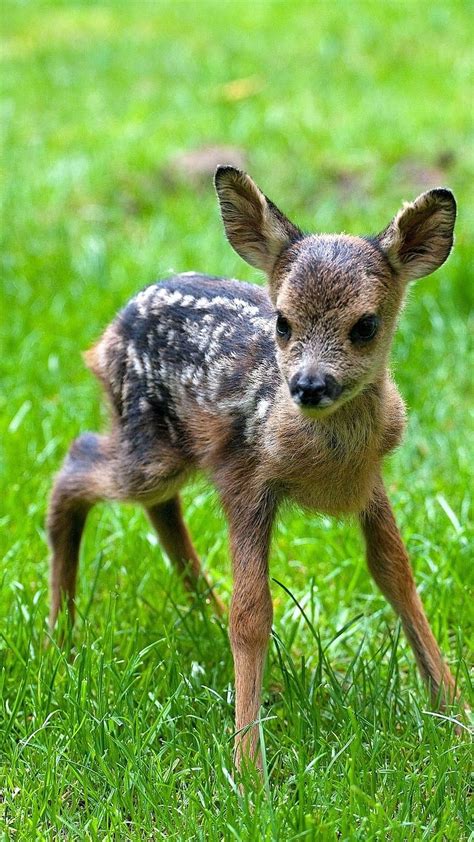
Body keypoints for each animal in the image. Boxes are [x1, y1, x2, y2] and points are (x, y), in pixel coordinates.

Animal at [47, 165, 461, 772]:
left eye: (365, 326)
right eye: (283, 323)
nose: (309, 385)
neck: (325, 461)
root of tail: (106, 335)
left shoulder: (370, 482)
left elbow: (395, 572)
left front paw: (456, 713)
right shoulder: (245, 480)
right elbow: (252, 614)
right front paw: (248, 770)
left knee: (157, 507)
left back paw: (209, 622)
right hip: (149, 448)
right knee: (78, 462)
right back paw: (60, 634)